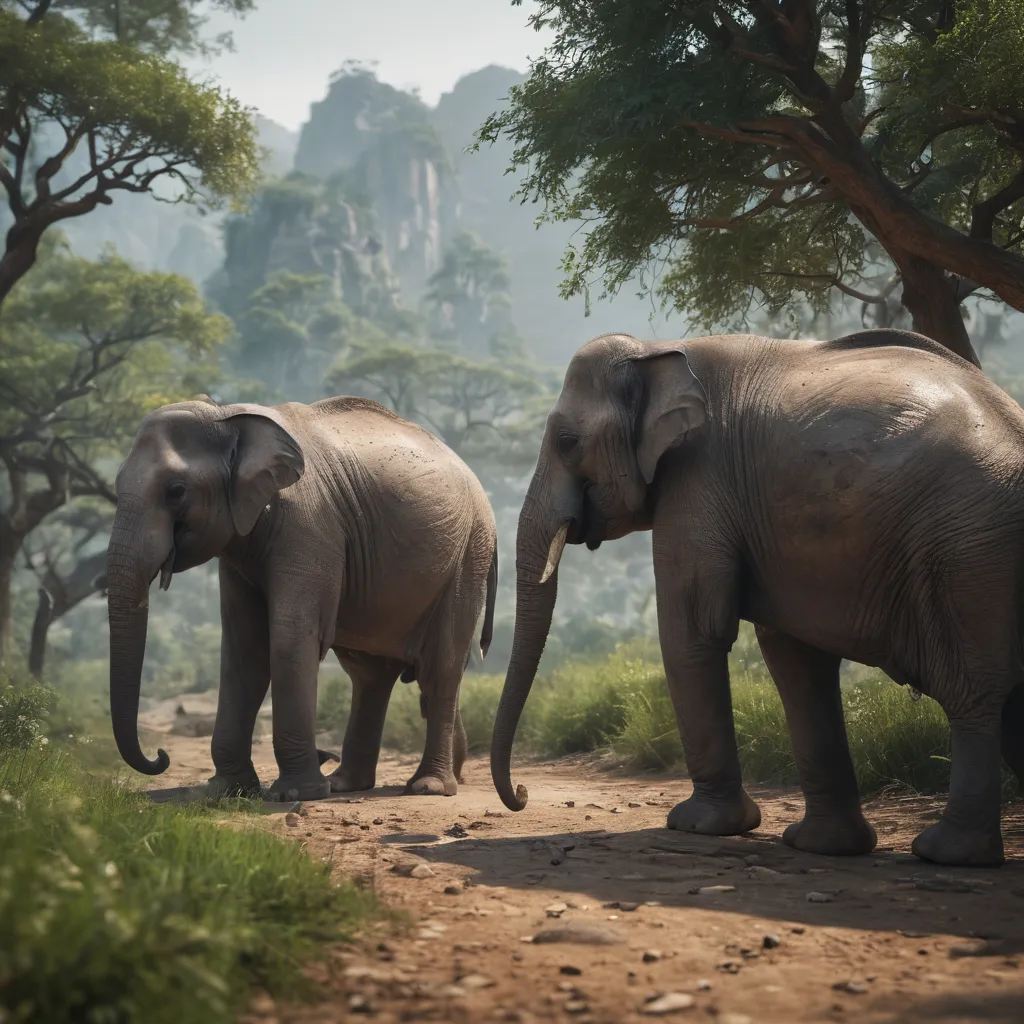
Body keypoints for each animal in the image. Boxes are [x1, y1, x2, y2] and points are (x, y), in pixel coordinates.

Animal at [107, 395, 497, 801]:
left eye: (176, 490)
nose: (160, 755)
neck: (227, 415)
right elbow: (245, 649)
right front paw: (226, 790)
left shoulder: (310, 524)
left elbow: (289, 638)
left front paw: (293, 795)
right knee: (370, 675)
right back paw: (345, 784)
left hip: (469, 555)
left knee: (441, 666)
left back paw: (428, 787)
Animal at [491, 328, 1024, 867]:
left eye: (567, 442)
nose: (523, 795)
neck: (656, 349)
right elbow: (794, 656)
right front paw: (822, 847)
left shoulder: (699, 477)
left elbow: (692, 632)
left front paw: (699, 825)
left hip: (966, 547)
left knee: (971, 693)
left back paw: (946, 853)